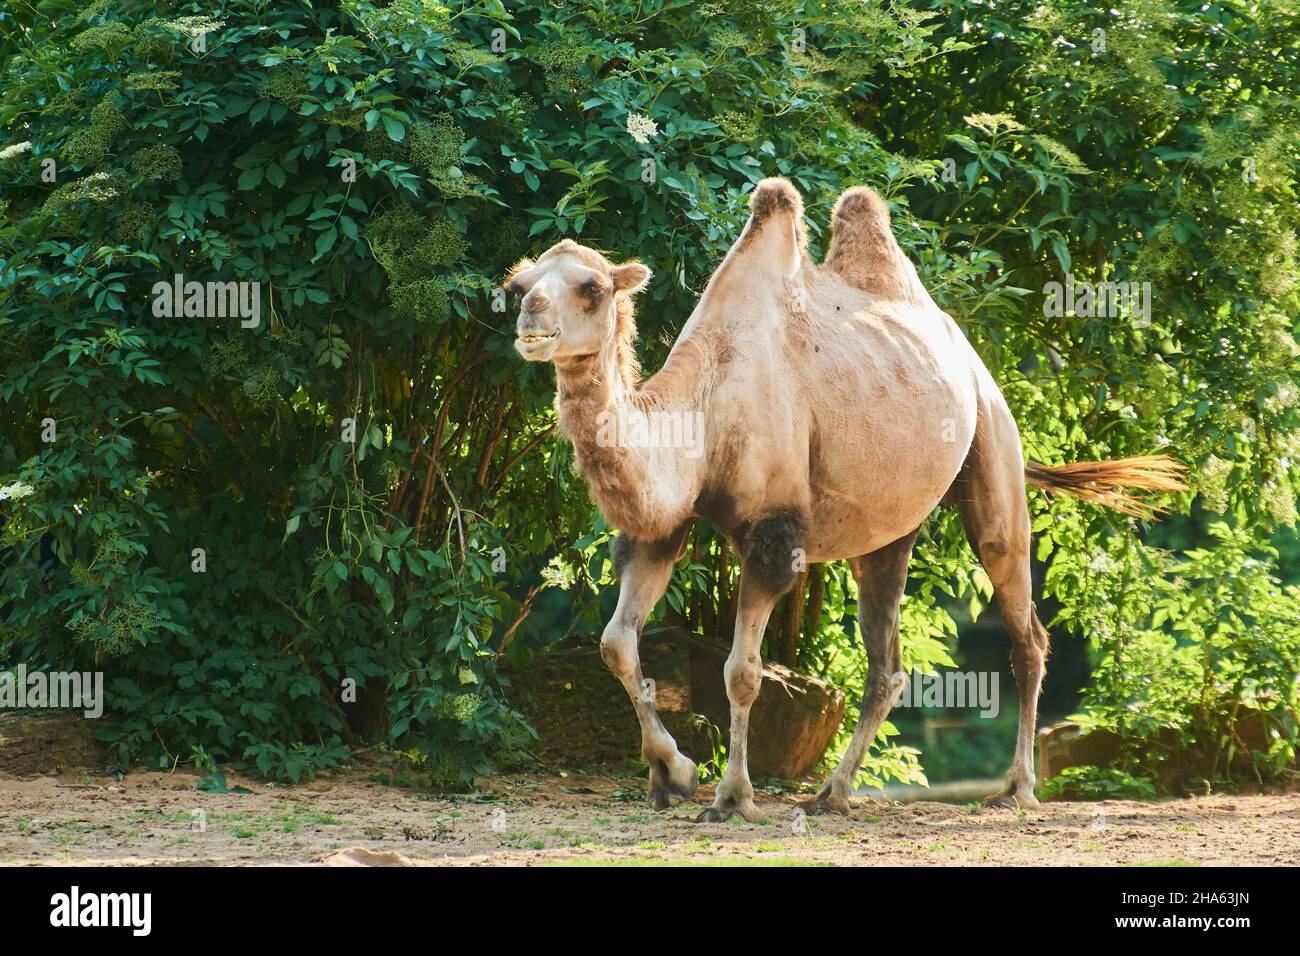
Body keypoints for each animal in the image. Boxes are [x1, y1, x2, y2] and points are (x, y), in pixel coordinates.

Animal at [506, 177, 1185, 822]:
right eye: (520, 284)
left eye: (592, 286)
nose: (530, 317)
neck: (708, 403)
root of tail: (970, 358)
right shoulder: (663, 524)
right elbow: (615, 644)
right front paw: (672, 772)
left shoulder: (774, 531)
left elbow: (742, 673)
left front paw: (732, 797)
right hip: (886, 533)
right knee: (887, 664)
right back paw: (832, 793)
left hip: (995, 448)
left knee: (1024, 629)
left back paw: (1016, 787)